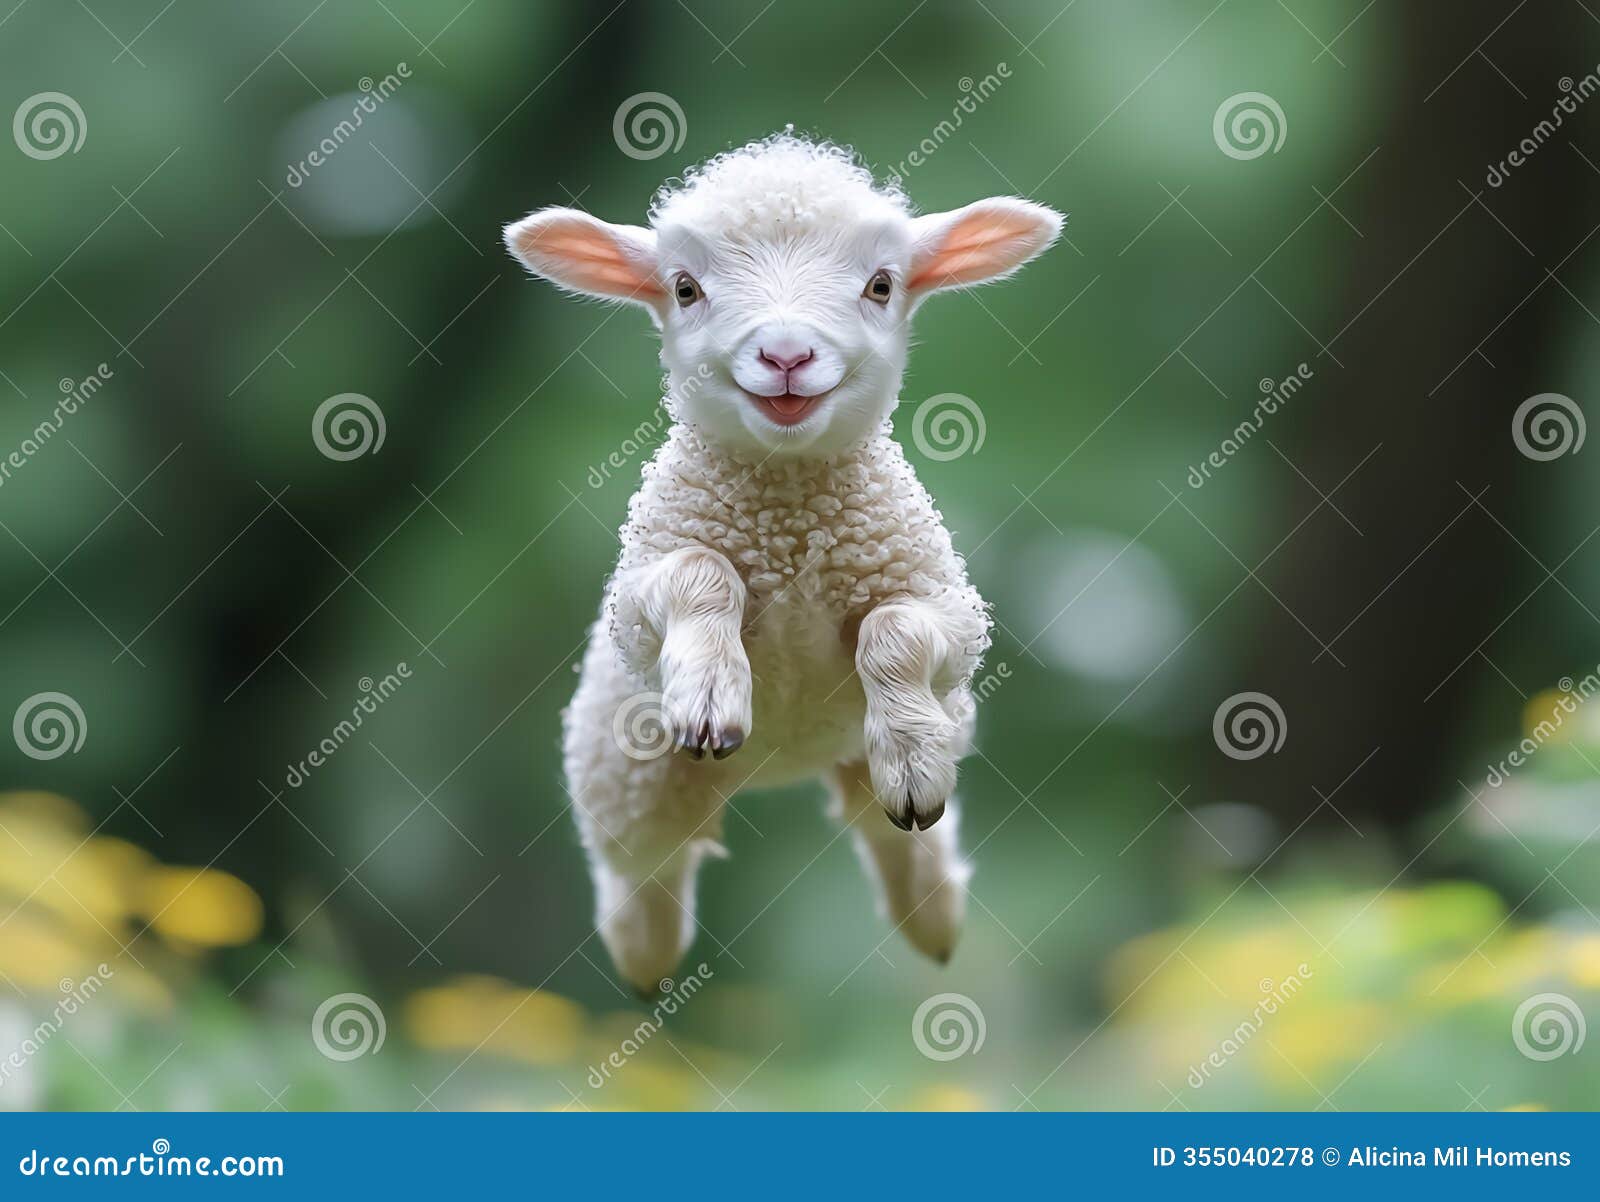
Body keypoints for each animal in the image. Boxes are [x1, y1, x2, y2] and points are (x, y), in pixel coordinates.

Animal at [504, 132, 1063, 993]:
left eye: (880, 284)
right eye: (686, 288)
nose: (787, 355)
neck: (791, 509)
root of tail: (782, 768)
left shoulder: (946, 605)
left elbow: (896, 633)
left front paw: (908, 751)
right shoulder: (638, 601)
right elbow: (701, 576)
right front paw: (709, 695)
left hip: (874, 750)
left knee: (894, 830)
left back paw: (931, 905)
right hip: (628, 772)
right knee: (645, 866)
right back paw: (644, 956)